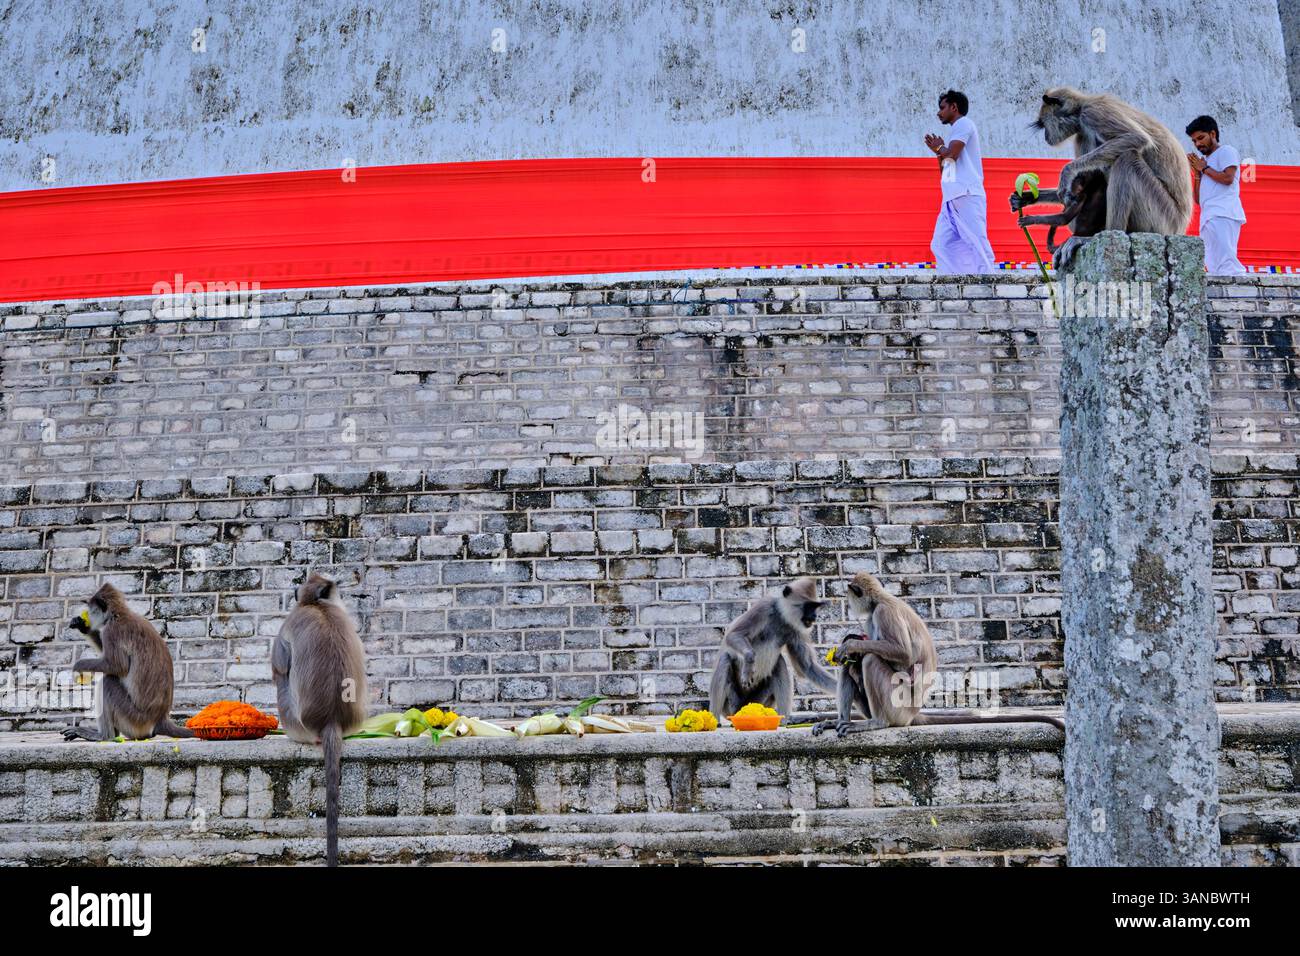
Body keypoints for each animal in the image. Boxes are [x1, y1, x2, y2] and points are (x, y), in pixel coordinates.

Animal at [61, 583, 195, 741]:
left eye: (91, 608)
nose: (88, 614)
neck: (119, 614)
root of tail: (160, 719)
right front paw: (84, 627)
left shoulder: (112, 630)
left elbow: (117, 666)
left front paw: (78, 666)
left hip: (133, 719)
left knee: (107, 681)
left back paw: (104, 736)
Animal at [273, 573, 368, 867]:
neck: (317, 605)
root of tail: (331, 721)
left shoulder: (288, 623)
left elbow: (279, 666)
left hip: (293, 722)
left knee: (282, 681)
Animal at [709, 576, 837, 719]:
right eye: (809, 606)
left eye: (815, 607)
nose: (814, 617)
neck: (781, 615)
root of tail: (743, 708)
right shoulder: (764, 607)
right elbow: (733, 635)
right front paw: (749, 663)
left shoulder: (796, 628)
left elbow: (807, 667)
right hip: (730, 706)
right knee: (725, 659)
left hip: (761, 702)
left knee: (779, 663)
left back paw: (783, 720)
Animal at [811, 572, 1064, 737]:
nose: (848, 605)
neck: (879, 600)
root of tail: (913, 714)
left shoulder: (883, 612)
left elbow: (903, 655)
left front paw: (850, 645)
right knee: (851, 666)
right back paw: (840, 720)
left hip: (898, 706)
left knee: (870, 660)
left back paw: (878, 722)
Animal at [1009, 87, 1193, 270]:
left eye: (1043, 125)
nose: (1046, 137)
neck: (1082, 106)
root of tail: (1180, 225)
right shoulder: (1082, 132)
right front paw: (1025, 198)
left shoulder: (1093, 113)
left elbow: (1135, 137)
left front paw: (1067, 171)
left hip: (1164, 218)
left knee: (1126, 159)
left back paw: (1098, 235)